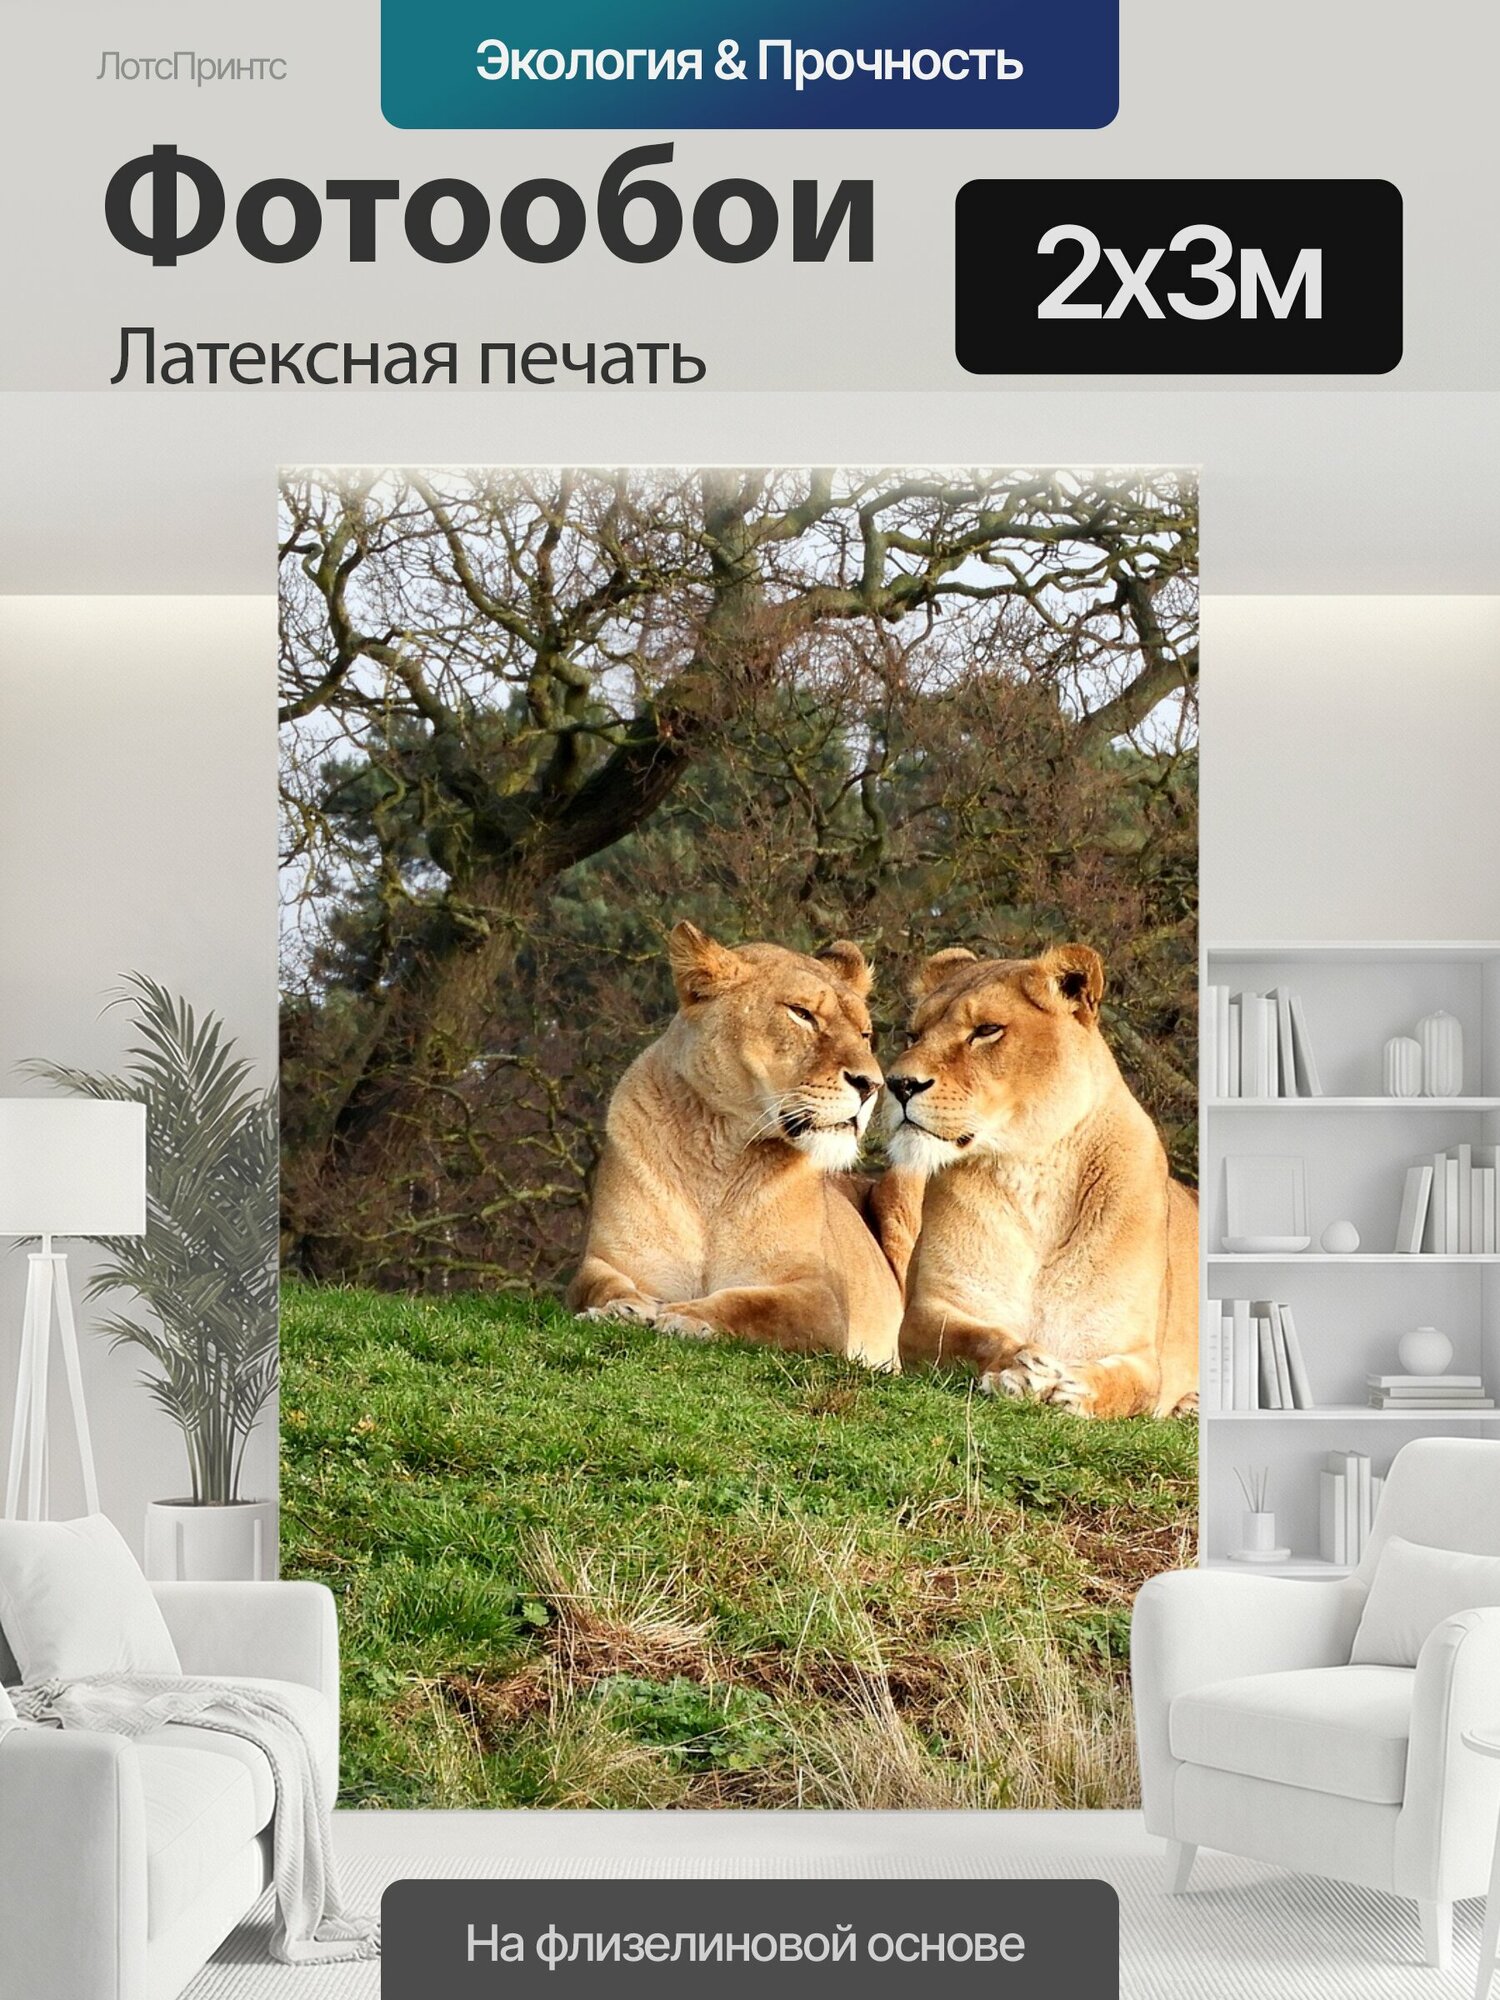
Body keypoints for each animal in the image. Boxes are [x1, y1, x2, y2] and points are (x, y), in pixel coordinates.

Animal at [566, 922, 904, 1369]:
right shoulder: (609, 1259)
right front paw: (622, 1308)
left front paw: (687, 1316)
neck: (719, 1155)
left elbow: (754, 1306)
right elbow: (596, 1284)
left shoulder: (824, 1299)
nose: (872, 1085)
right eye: (802, 1013)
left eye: (865, 1034)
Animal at [880, 944, 1197, 1418]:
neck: (1035, 1174)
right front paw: (1020, 1367)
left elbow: (1127, 1385)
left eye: (987, 1030)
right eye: (912, 1035)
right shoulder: (930, 1312)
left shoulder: (1139, 1354)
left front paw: (1076, 1390)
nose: (898, 1084)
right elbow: (973, 1337)